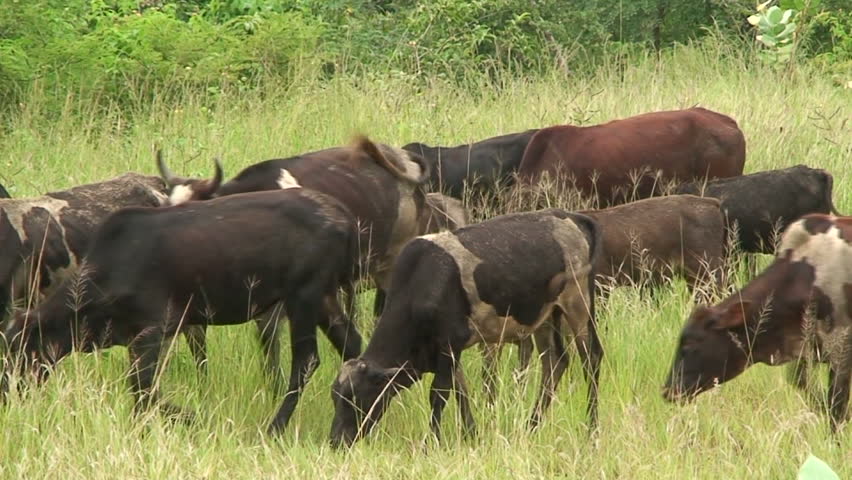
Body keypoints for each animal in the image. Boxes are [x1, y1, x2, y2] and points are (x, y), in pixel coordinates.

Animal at [1, 188, 363, 435]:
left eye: (14, 353)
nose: (6, 396)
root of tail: (347, 221)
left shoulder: (152, 328)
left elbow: (143, 391)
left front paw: (199, 418)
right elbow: (146, 391)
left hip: (304, 295)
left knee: (306, 361)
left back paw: (275, 426)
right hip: (325, 298)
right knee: (352, 345)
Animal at [329, 209, 602, 447]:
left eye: (355, 398)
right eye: (335, 397)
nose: (336, 442)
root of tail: (567, 215)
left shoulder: (449, 343)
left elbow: (439, 394)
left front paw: (432, 442)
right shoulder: (448, 349)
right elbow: (461, 391)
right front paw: (472, 435)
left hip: (578, 304)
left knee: (591, 358)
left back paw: (591, 430)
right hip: (544, 317)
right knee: (555, 362)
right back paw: (532, 425)